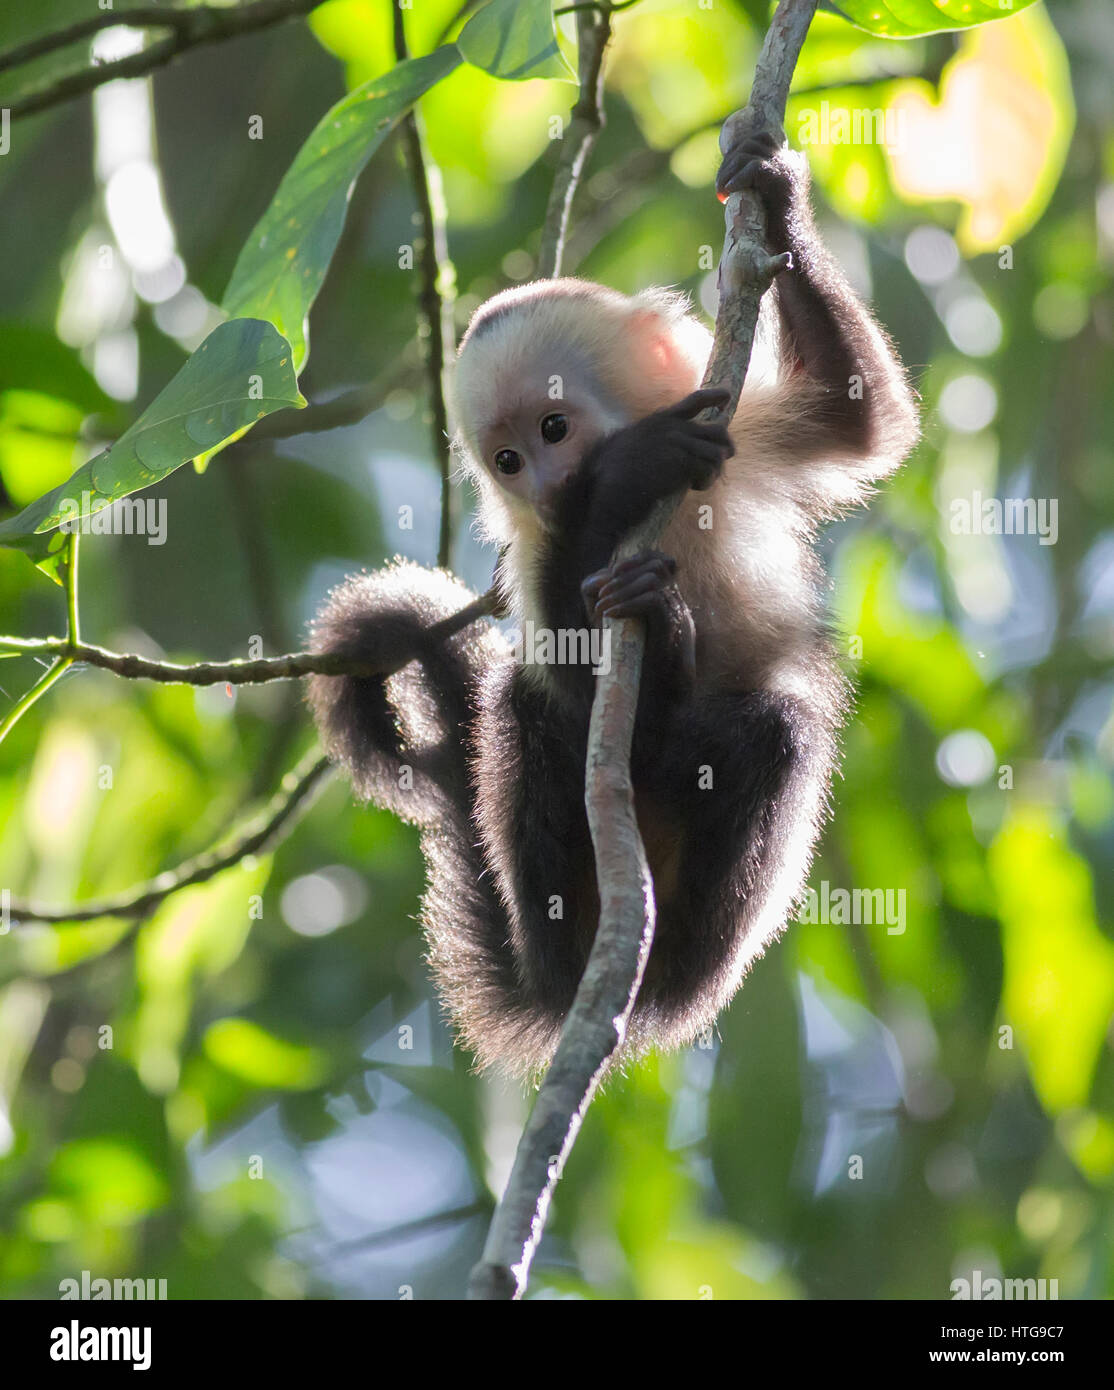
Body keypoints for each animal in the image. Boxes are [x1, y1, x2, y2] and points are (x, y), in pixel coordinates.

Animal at [307, 127, 919, 1077]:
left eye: (554, 429)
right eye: (508, 461)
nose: (550, 482)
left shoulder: (738, 426)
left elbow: (864, 421)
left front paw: (775, 196)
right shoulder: (530, 550)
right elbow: (562, 662)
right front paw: (616, 486)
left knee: (777, 731)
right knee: (528, 705)